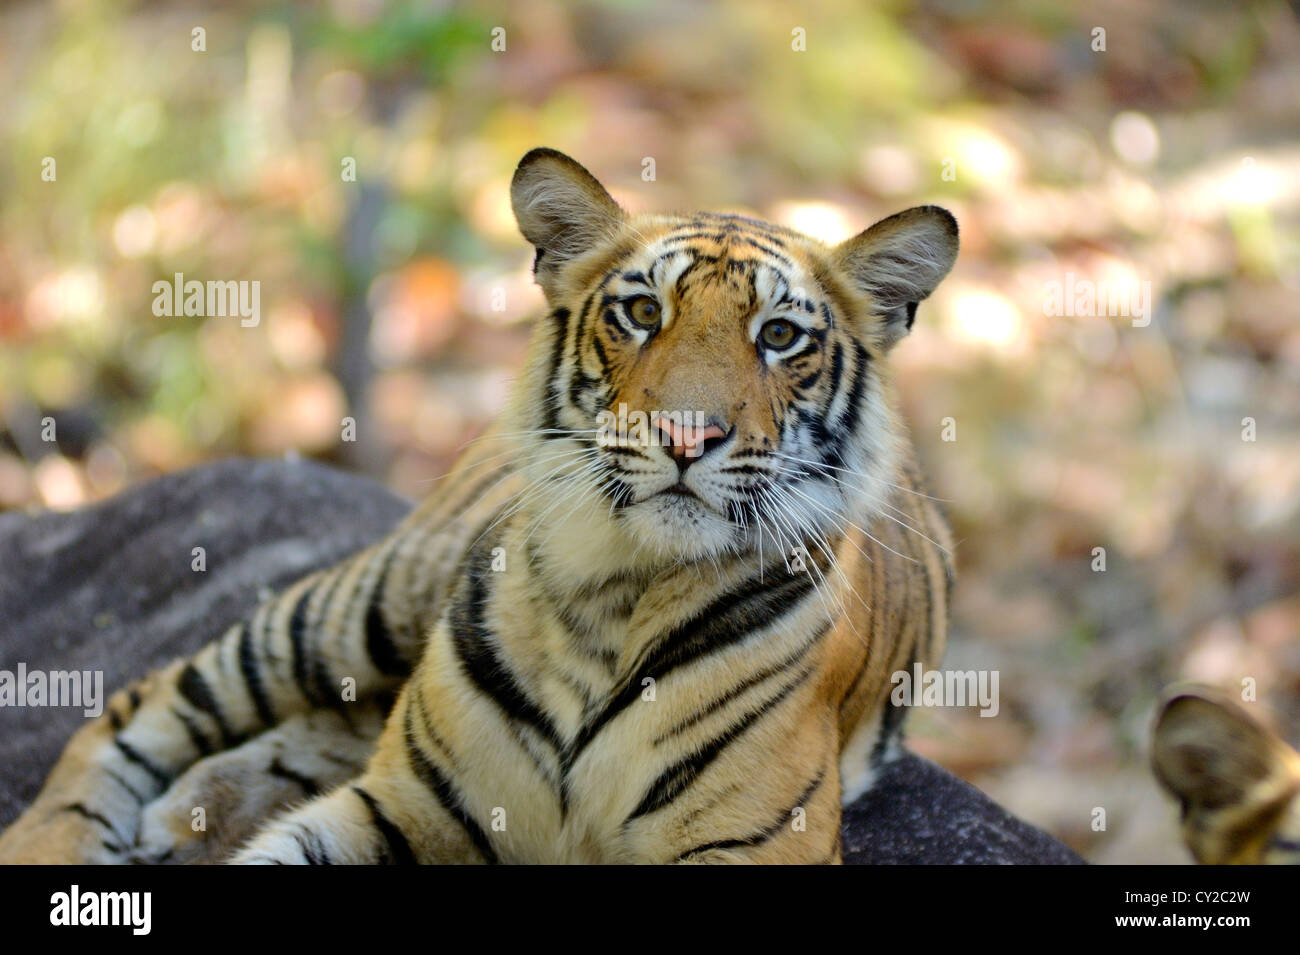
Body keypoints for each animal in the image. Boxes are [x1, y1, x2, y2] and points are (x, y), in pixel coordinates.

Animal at [0, 147, 958, 864]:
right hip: (367, 602)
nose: (688, 435)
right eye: (642, 312)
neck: (619, 589)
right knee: (139, 701)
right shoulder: (403, 803)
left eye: (780, 336)